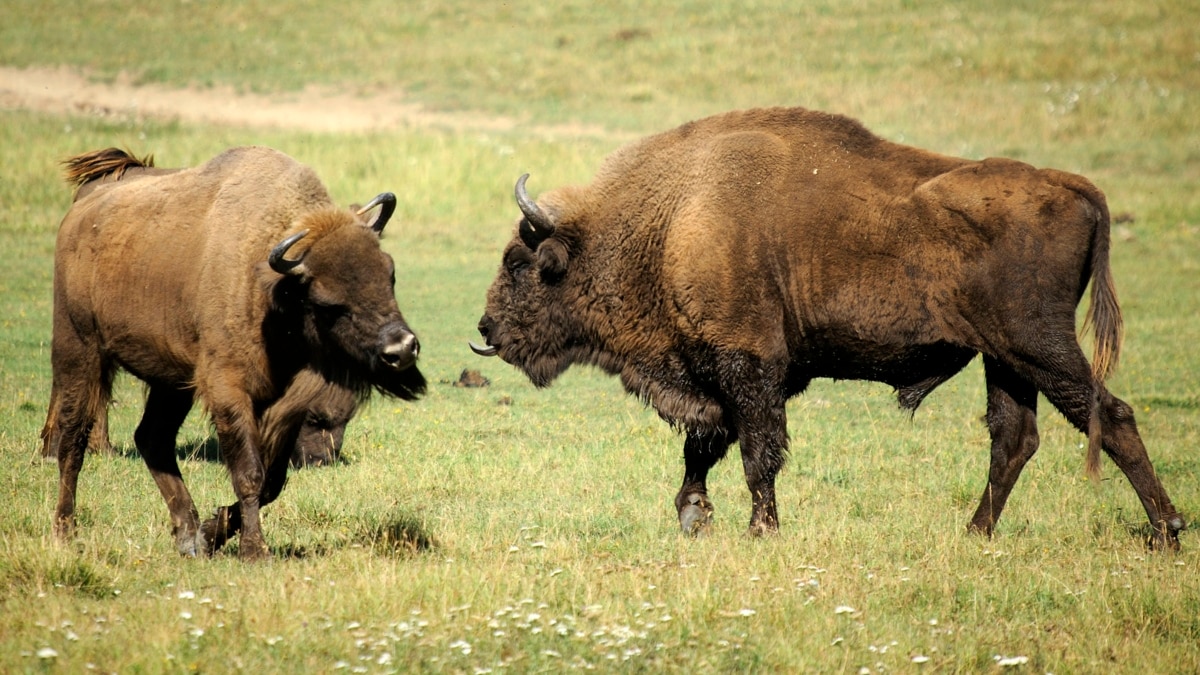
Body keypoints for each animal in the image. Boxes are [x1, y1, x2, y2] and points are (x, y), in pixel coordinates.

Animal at [49, 145, 426, 559]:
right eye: (329, 304)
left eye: (389, 273)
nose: (401, 349)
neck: (274, 290)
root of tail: (80, 214)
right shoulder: (228, 389)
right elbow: (250, 474)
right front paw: (254, 550)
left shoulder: (284, 405)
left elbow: (273, 481)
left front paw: (212, 532)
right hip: (79, 351)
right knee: (73, 439)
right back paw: (65, 533)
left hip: (172, 380)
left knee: (153, 438)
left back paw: (188, 537)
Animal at [472, 106, 1185, 549]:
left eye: (520, 262)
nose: (486, 329)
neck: (670, 220)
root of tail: (1073, 187)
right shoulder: (724, 374)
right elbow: (706, 445)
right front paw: (694, 516)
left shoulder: (749, 366)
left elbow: (758, 453)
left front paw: (760, 530)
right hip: (1004, 359)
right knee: (1015, 437)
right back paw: (975, 534)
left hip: (1039, 346)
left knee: (1109, 415)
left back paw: (1167, 532)